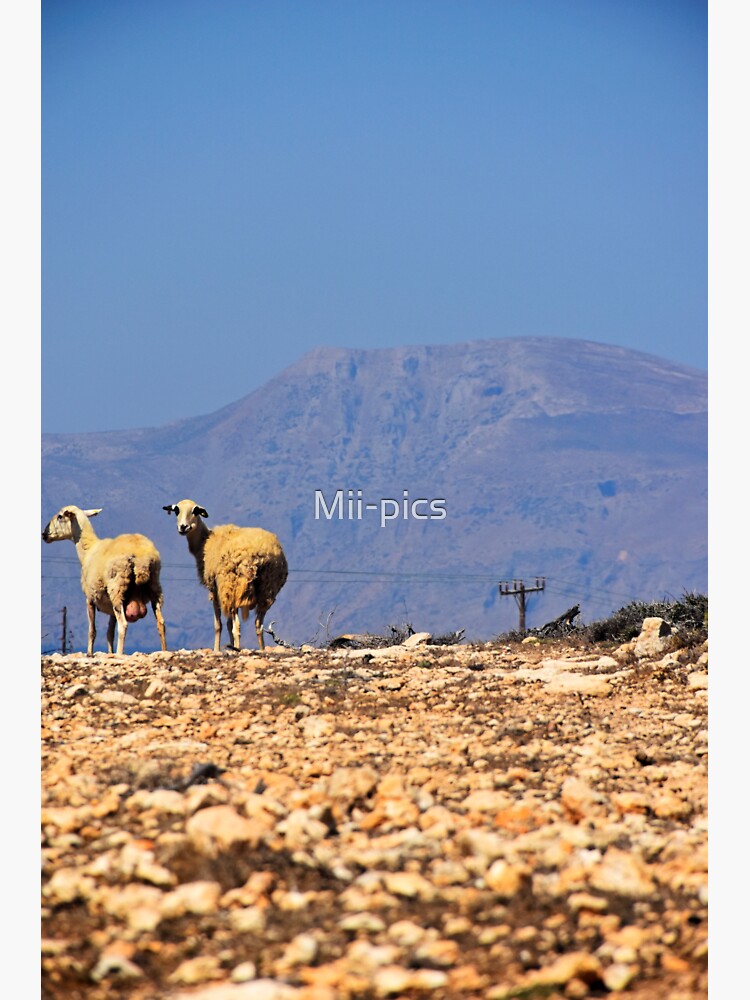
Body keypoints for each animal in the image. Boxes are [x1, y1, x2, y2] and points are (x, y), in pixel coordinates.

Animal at [41, 505, 167, 656]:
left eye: (60, 516)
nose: (44, 534)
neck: (88, 551)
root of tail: (141, 558)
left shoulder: (90, 599)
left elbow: (92, 631)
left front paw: (90, 654)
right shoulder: (110, 607)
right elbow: (109, 634)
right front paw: (110, 653)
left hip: (117, 588)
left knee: (123, 625)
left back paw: (119, 654)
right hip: (154, 585)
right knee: (161, 623)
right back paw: (165, 651)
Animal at [162, 499, 288, 652]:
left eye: (195, 511)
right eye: (176, 510)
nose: (183, 527)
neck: (204, 542)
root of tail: (262, 553)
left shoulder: (215, 589)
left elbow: (219, 625)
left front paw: (217, 649)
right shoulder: (225, 593)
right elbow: (228, 624)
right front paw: (230, 645)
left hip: (233, 585)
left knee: (237, 626)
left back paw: (238, 649)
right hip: (267, 588)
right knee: (259, 625)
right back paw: (261, 649)